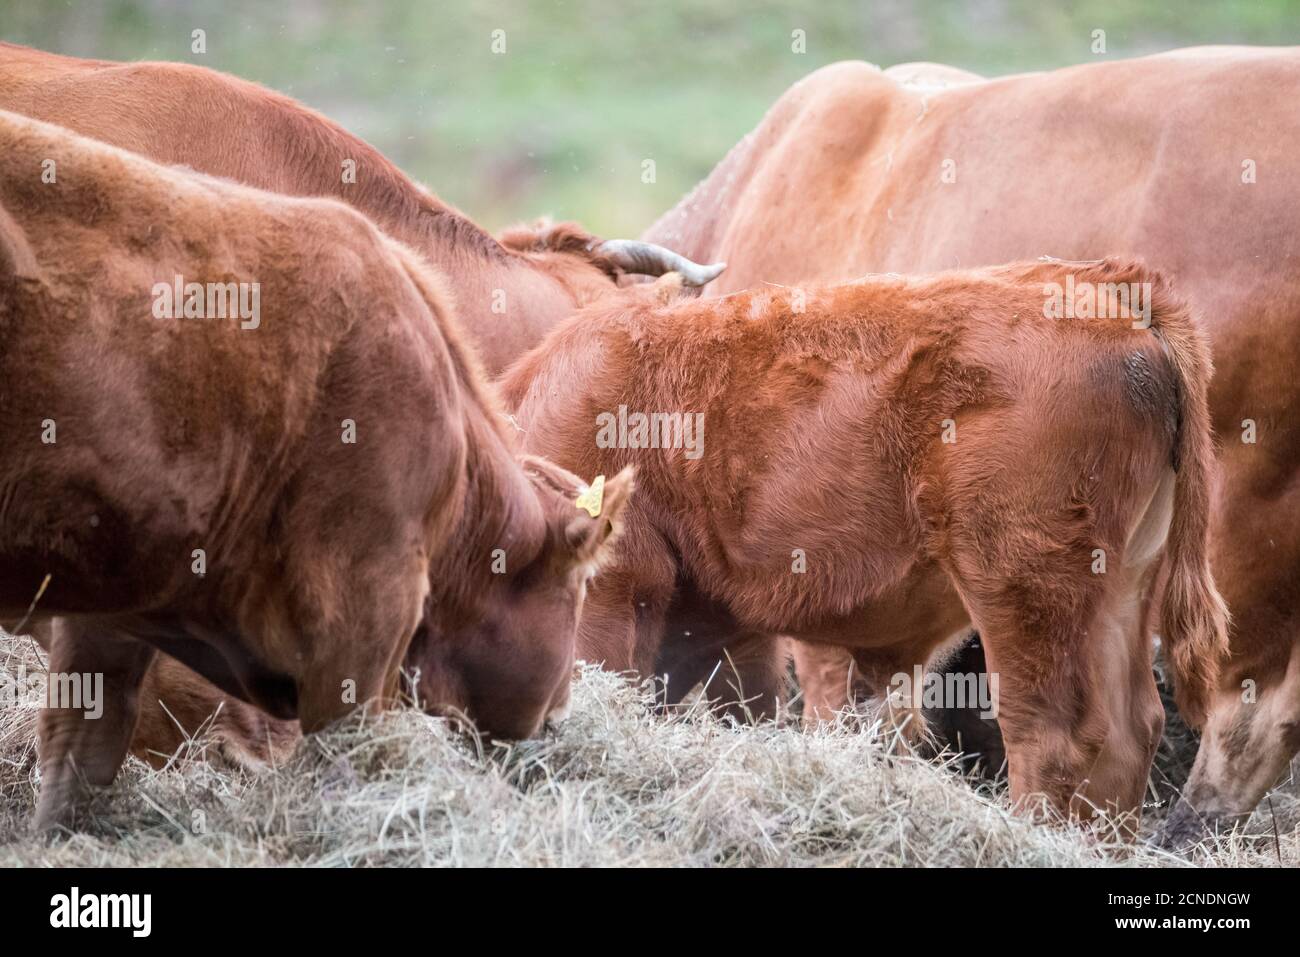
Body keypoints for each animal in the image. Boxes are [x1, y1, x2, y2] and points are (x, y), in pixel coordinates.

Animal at [498, 257, 1227, 829]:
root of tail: (1110, 288)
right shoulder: (726, 628)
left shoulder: (612, 596)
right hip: (1120, 589)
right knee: (1128, 737)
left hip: (1023, 591)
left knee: (1050, 739)